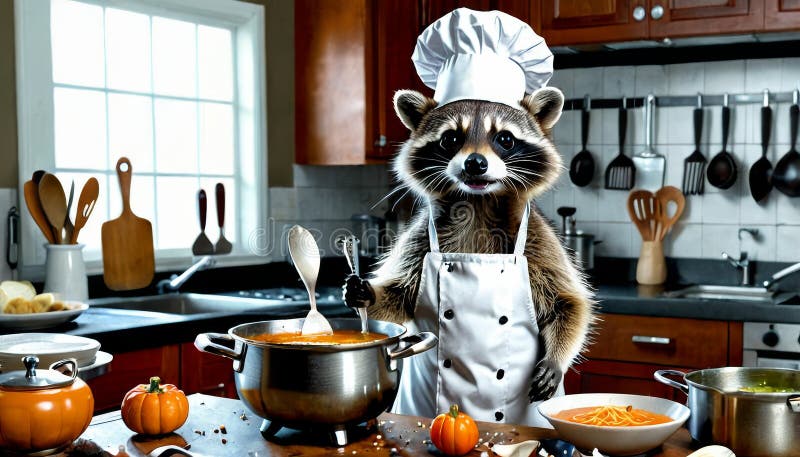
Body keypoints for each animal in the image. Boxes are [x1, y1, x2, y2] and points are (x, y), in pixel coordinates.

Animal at [345, 86, 595, 403]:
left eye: (505, 139)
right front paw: (369, 293)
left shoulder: (540, 241)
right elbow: (400, 294)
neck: (478, 201)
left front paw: (556, 358)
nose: (475, 162)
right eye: (451, 138)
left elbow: (569, 303)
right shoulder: (420, 238)